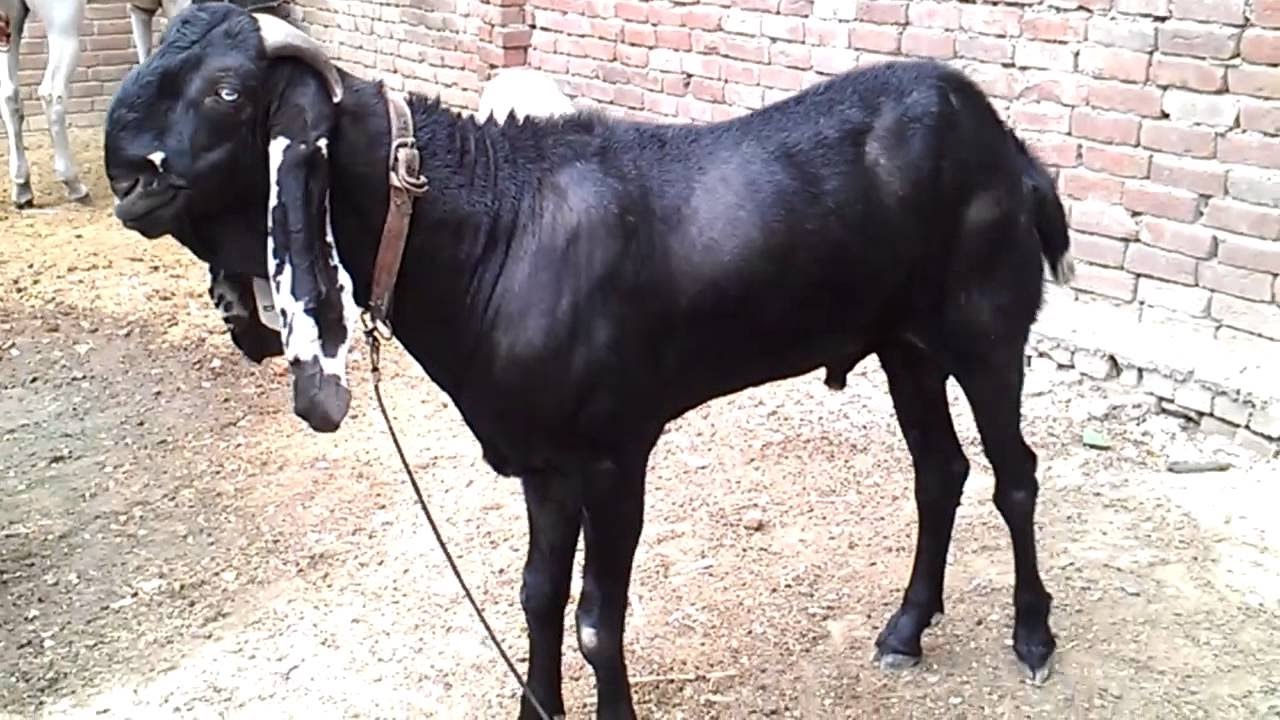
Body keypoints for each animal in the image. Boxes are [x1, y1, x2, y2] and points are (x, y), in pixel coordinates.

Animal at [1, 0, 89, 207]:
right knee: (52, 93)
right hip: (62, 20)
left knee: (9, 95)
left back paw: (22, 188)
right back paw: (74, 185)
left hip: (11, 19)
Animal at [104, 5, 1074, 717]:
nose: (130, 175)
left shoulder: (614, 456)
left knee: (1016, 474)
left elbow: (597, 622)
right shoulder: (544, 463)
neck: (495, 231)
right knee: (939, 472)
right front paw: (536, 709)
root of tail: (1009, 146)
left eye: (229, 91)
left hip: (987, 328)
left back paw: (1032, 638)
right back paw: (905, 629)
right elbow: (537, 595)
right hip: (905, 346)